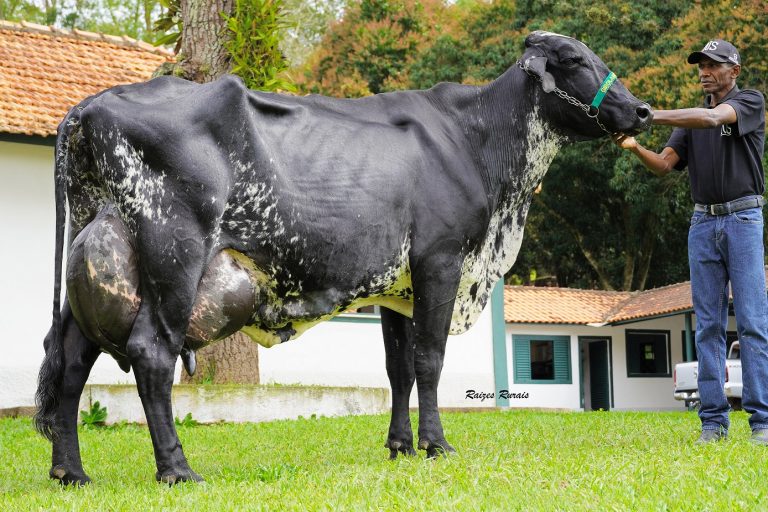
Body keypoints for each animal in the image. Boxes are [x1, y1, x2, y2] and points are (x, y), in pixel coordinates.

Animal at [35, 31, 651, 485]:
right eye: (575, 60)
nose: (643, 110)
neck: (478, 144)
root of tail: (89, 107)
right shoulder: (441, 261)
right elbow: (431, 360)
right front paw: (436, 445)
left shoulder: (396, 287)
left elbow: (399, 368)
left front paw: (400, 446)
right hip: (174, 255)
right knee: (151, 353)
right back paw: (178, 469)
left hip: (97, 259)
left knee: (70, 360)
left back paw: (71, 473)